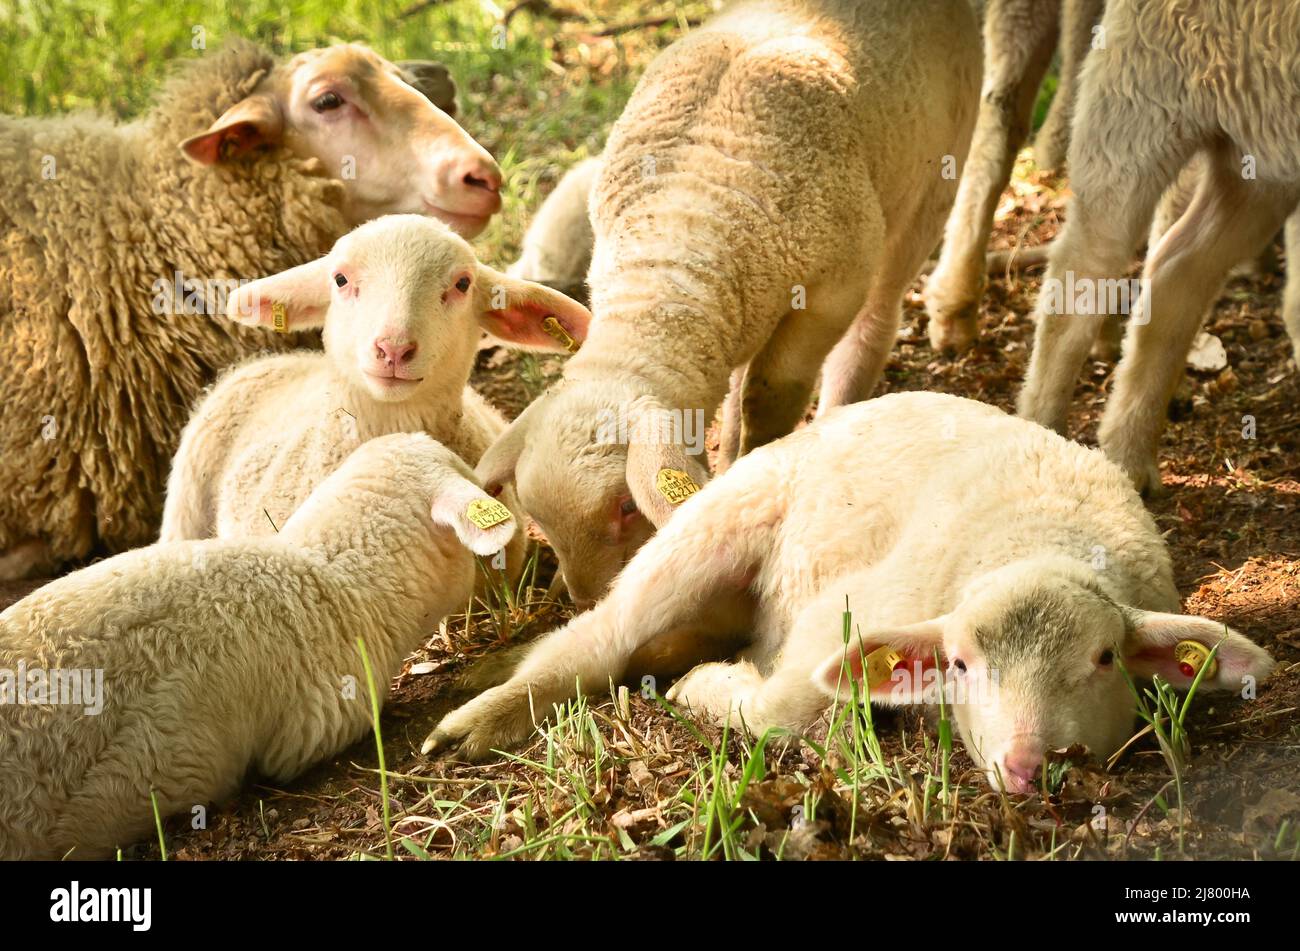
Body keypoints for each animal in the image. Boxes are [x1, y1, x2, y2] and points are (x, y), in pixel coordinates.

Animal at [423, 392, 1275, 792]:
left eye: (1105, 658)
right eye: (960, 662)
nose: (1035, 763)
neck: (1040, 538)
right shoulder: (840, 622)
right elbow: (778, 708)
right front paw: (707, 691)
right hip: (714, 523)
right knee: (601, 637)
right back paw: (484, 715)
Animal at [1017, 0, 1300, 494]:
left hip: (1261, 149)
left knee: (1177, 269)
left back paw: (1129, 457)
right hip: (1137, 107)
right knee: (1080, 275)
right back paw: (1047, 437)